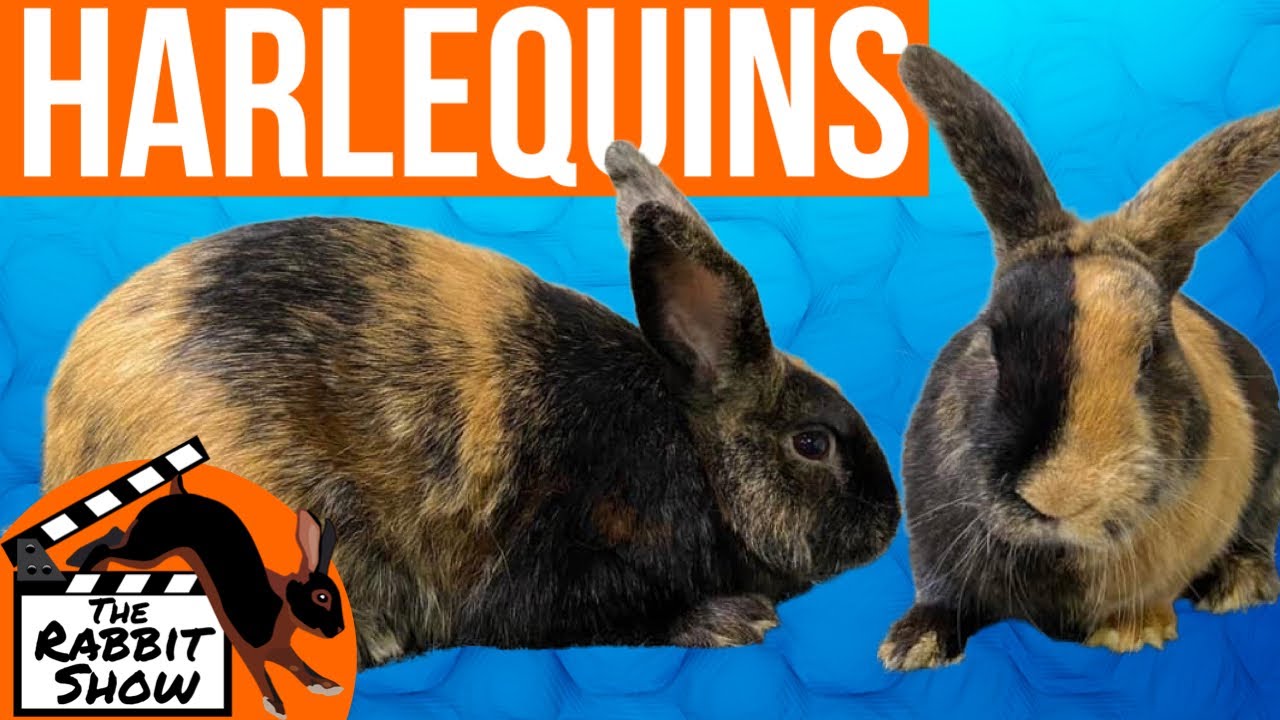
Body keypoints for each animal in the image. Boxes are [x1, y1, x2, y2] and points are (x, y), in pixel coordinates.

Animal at [73, 474, 344, 718]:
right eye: (322, 597)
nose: (340, 629)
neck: (282, 604)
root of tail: (178, 494)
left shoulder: (281, 650)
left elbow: (302, 667)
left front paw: (327, 685)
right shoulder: (251, 650)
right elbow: (264, 676)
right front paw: (276, 705)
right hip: (148, 550)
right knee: (106, 548)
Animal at [879, 45, 1280, 671]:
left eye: (1150, 353)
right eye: (993, 340)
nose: (1059, 494)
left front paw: (1133, 632)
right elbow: (944, 595)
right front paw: (910, 646)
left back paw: (1236, 586)